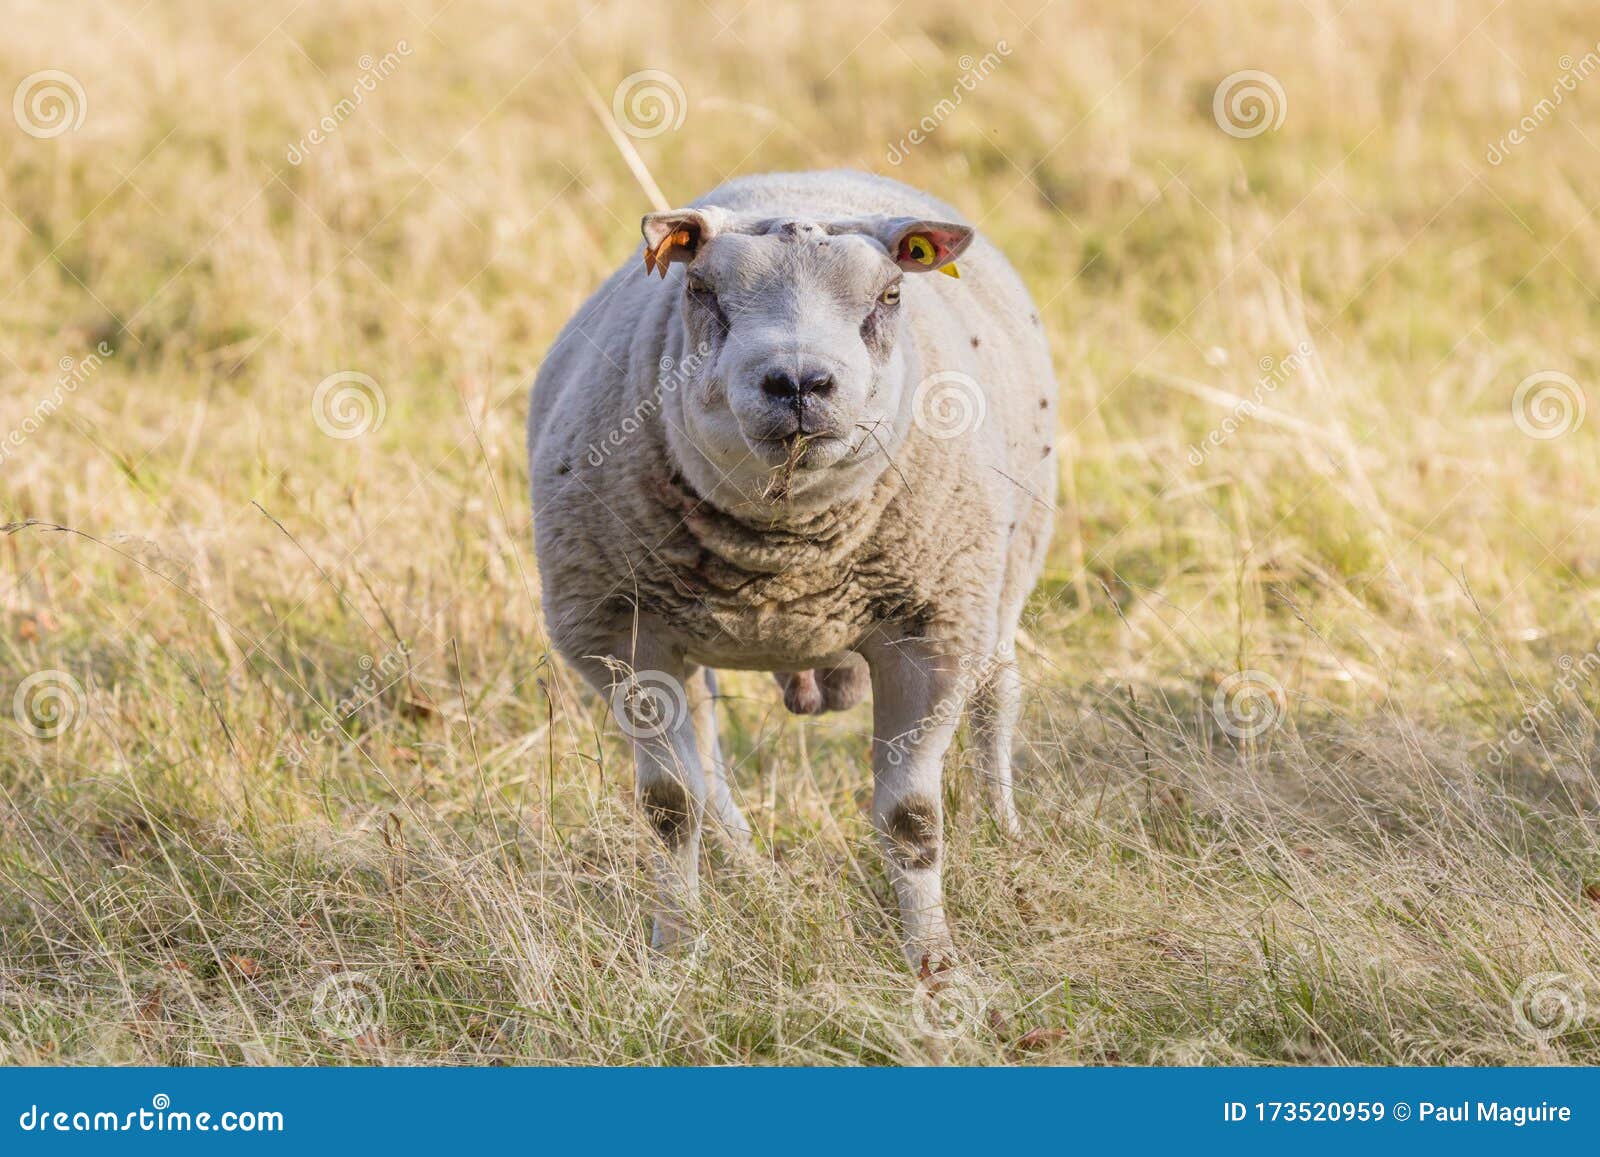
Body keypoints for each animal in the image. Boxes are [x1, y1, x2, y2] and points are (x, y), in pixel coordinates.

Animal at [527, 170, 1056, 966]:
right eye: (700, 288)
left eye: (889, 295)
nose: (800, 382)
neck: (782, 555)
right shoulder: (624, 634)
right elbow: (670, 807)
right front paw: (676, 951)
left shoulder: (932, 632)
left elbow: (911, 818)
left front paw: (934, 965)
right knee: (711, 762)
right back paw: (748, 870)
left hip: (1000, 579)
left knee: (998, 697)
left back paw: (1005, 833)